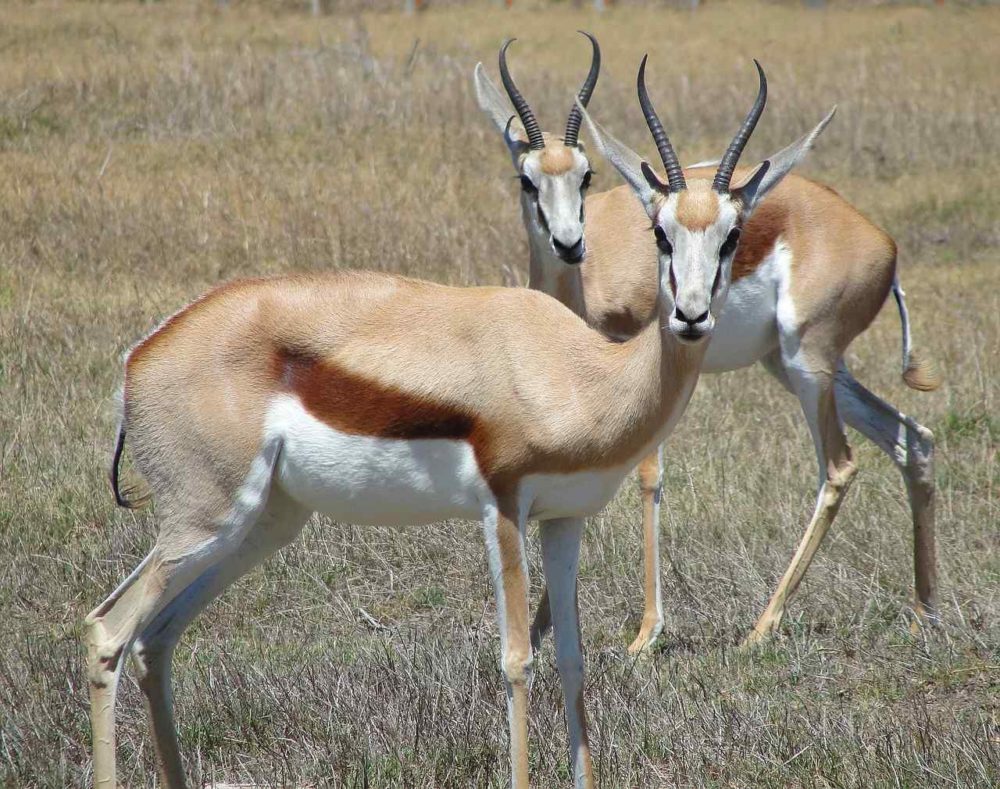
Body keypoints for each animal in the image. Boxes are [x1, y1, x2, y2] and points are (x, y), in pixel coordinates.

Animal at [83, 59, 814, 788]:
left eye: (732, 235)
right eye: (659, 231)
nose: (691, 316)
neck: (578, 369)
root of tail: (141, 355)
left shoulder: (565, 519)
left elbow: (572, 658)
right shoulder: (504, 509)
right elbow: (517, 659)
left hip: (260, 524)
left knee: (157, 639)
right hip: (204, 521)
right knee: (107, 631)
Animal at [475, 40, 940, 651]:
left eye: (586, 176)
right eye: (527, 180)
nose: (569, 243)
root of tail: (880, 240)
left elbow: (646, 476)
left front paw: (645, 633)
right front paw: (540, 624)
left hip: (808, 363)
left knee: (839, 467)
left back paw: (762, 628)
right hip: (795, 365)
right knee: (913, 439)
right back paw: (925, 612)